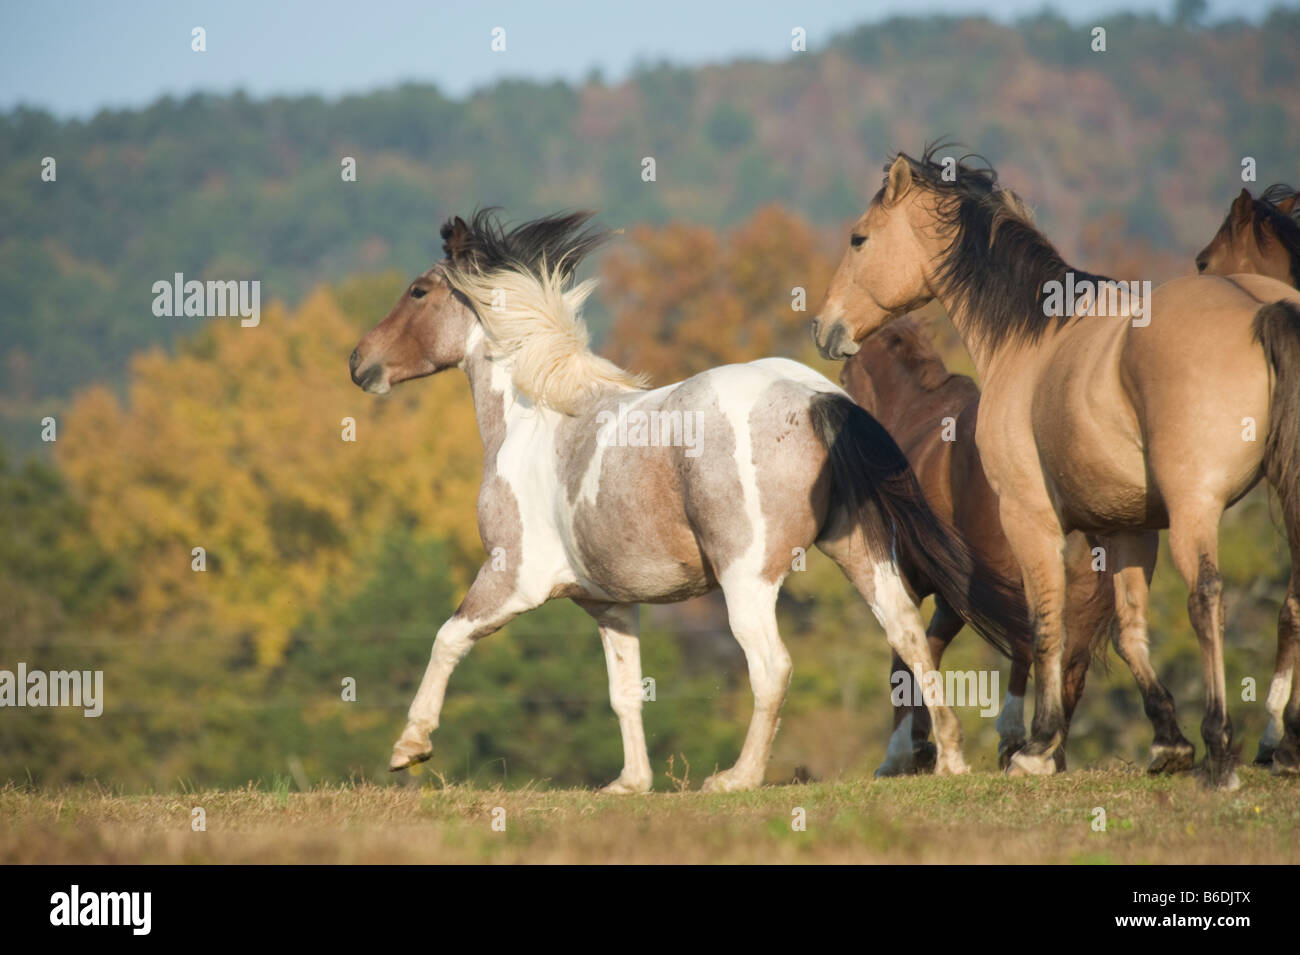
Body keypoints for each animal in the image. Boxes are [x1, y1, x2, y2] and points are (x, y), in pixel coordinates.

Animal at [349, 208, 1029, 791]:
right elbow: (624, 691)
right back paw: (949, 758)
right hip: (860, 552)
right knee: (910, 638)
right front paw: (630, 783)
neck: (535, 418)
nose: (359, 361)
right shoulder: (609, 604)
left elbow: (447, 637)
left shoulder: (510, 579)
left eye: (417, 291)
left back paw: (738, 777)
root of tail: (818, 398)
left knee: (773, 666)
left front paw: (409, 747)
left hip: (747, 579)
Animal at [841, 317, 1189, 775]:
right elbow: (931, 649)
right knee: (1067, 662)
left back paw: (1016, 741)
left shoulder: (919, 579)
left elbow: (908, 655)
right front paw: (926, 745)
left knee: (1030, 643)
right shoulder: (958, 595)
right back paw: (1050, 753)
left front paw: (905, 750)